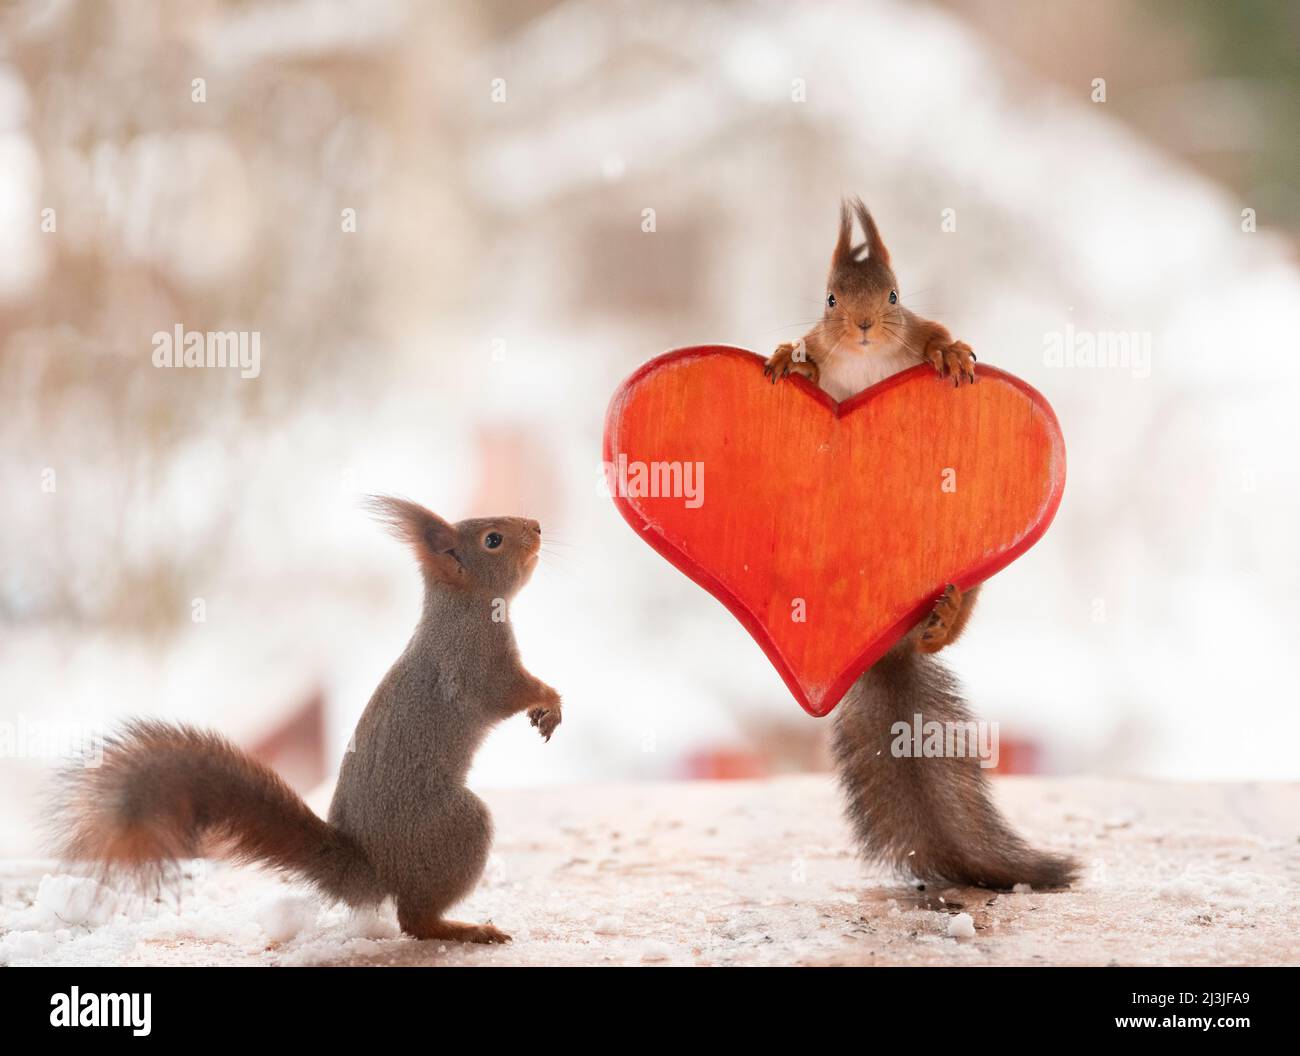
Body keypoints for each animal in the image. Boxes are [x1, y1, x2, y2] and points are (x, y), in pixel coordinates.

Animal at [51, 497, 563, 944]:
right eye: (493, 540)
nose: (537, 527)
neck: (465, 606)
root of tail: (373, 867)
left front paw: (544, 712)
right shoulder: (475, 663)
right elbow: (503, 690)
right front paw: (549, 699)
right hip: (453, 826)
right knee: (414, 919)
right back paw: (465, 929)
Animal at [765, 199, 1078, 890]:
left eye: (893, 295)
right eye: (830, 298)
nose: (860, 326)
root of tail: (887, 648)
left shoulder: (914, 325)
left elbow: (934, 334)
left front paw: (952, 354)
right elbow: (810, 361)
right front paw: (786, 357)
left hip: (974, 575)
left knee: (950, 627)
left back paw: (940, 618)